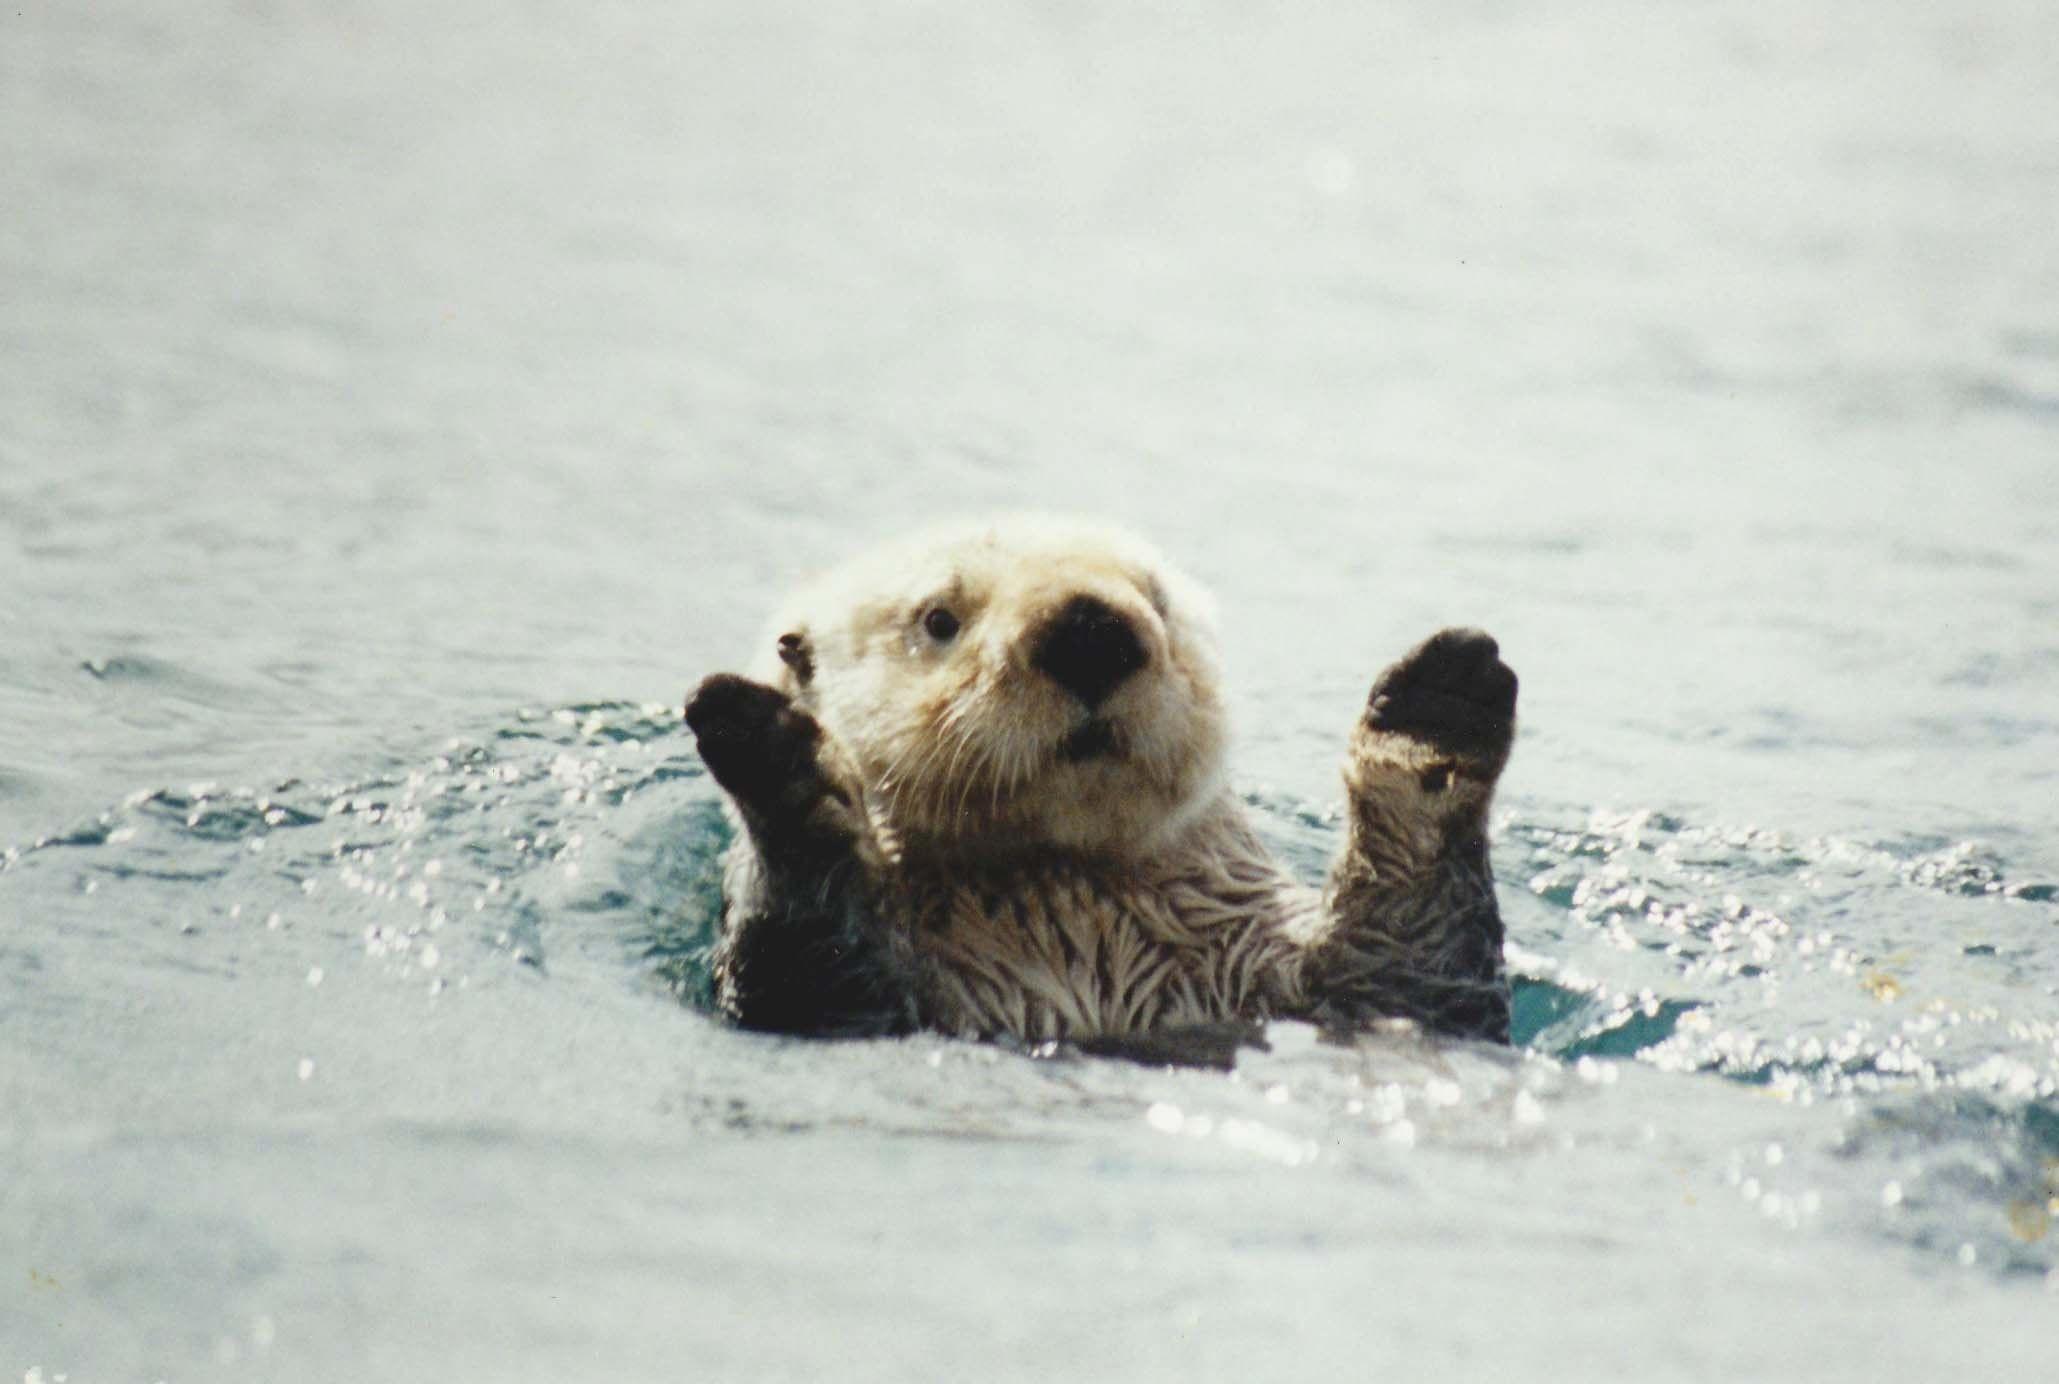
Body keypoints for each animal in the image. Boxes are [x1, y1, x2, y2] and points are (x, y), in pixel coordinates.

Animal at [684, 519, 1517, 1055]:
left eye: (1156, 600)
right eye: (940, 618)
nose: (1089, 628)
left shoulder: (1344, 987)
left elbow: (1412, 975)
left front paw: (1434, 711)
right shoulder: (854, 1002)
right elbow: (809, 968)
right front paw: (771, 757)